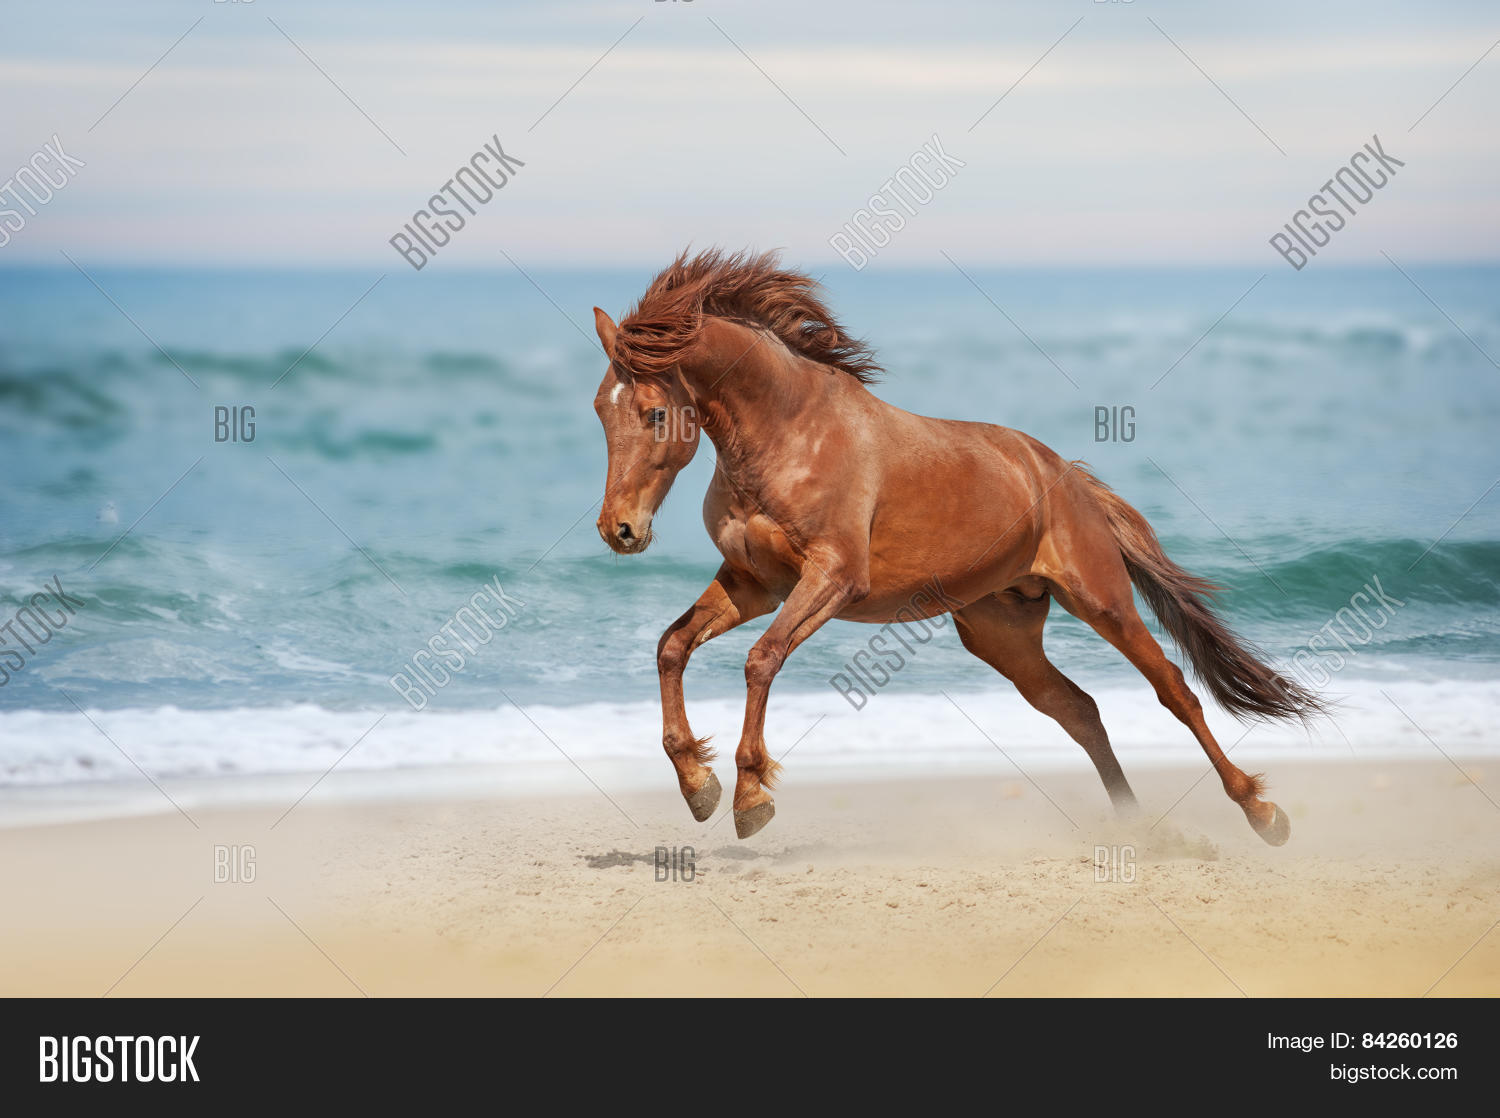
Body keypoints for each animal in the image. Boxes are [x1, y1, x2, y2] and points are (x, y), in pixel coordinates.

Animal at [591, 249, 1322, 844]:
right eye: (601, 408)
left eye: (655, 413)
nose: (618, 530)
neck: (789, 433)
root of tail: (1067, 477)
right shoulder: (755, 584)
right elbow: (672, 647)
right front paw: (698, 786)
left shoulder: (831, 579)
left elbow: (761, 660)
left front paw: (749, 798)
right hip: (1001, 632)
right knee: (1078, 710)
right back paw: (1136, 828)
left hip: (1102, 600)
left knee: (1175, 690)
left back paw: (1262, 811)